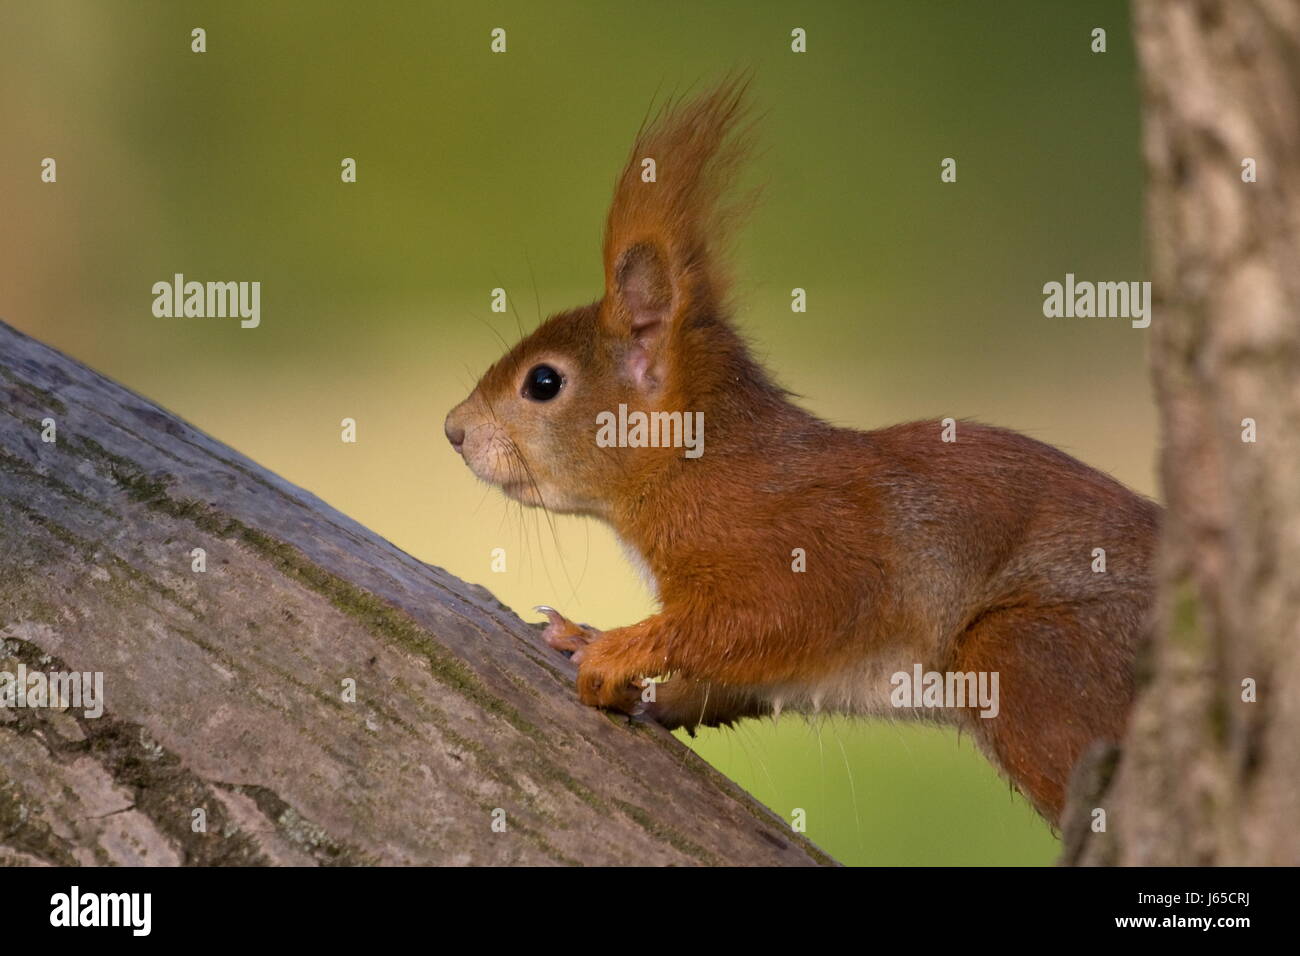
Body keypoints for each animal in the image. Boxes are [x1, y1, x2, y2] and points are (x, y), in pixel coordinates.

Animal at [444, 80, 1160, 824]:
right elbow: (733, 679)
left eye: (543, 383)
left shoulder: (800, 550)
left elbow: (753, 624)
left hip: (1027, 660)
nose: (453, 430)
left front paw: (614, 651)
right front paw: (601, 651)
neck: (692, 468)